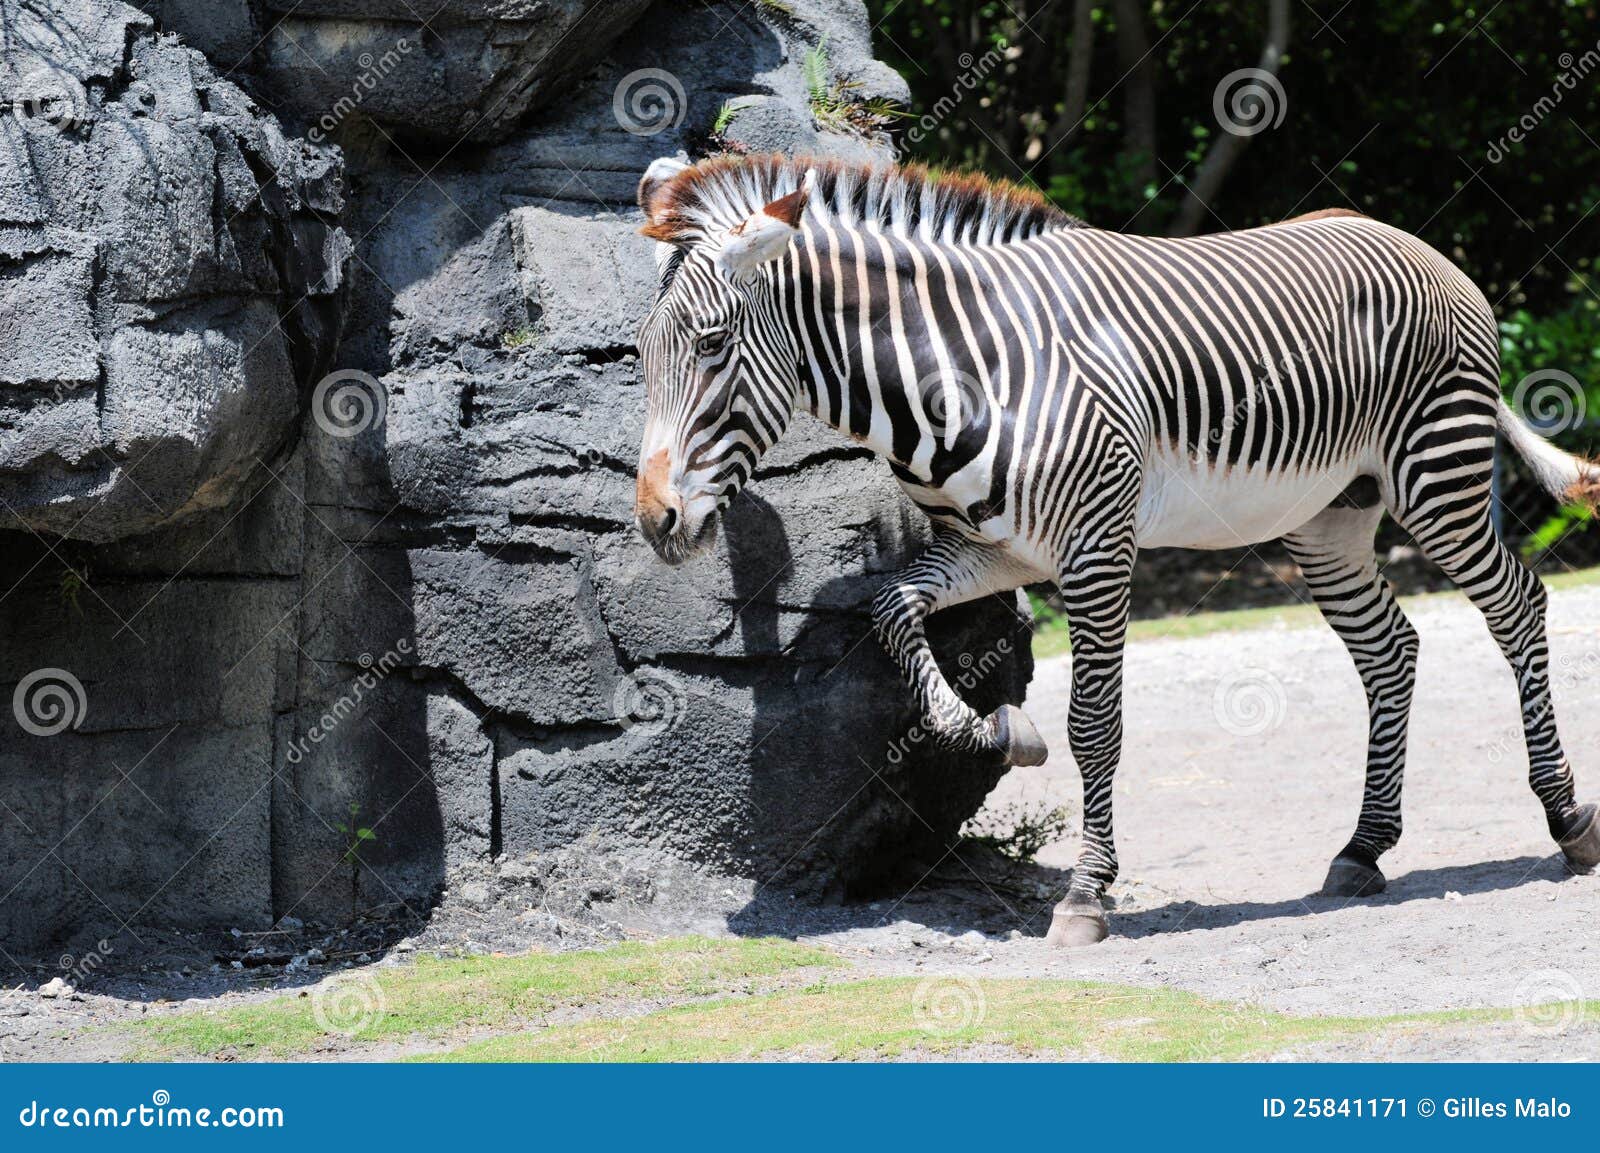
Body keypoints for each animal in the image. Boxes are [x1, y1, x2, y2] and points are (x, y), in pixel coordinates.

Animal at [630, 152, 1600, 946]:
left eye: (712, 345)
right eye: (639, 350)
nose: (654, 521)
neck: (965, 370)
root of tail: (1417, 242)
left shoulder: (1098, 546)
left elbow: (1095, 723)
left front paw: (1086, 894)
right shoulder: (996, 547)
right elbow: (892, 607)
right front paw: (992, 729)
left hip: (1435, 475)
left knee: (1518, 607)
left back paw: (1566, 820)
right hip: (1328, 517)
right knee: (1390, 649)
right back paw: (1364, 847)